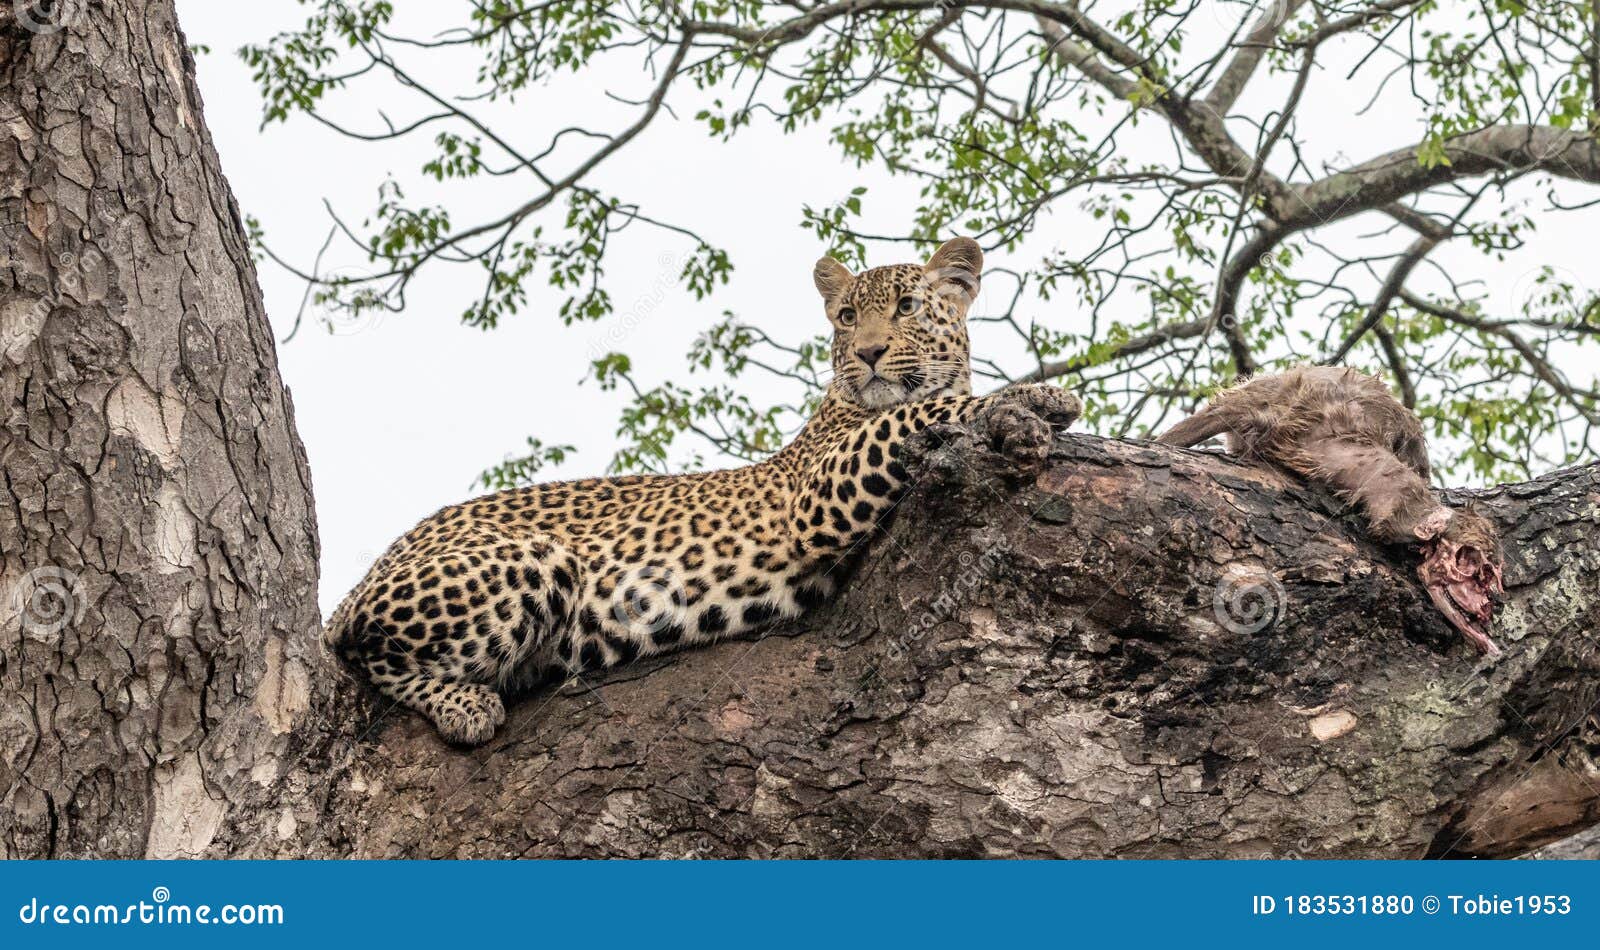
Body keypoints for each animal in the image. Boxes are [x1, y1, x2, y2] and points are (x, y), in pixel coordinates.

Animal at [324, 237, 1083, 746]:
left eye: (905, 307)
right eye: (844, 316)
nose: (866, 352)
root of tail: (369, 573)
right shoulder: (815, 493)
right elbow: (921, 410)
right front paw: (1035, 396)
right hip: (531, 560)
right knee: (363, 652)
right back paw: (465, 706)